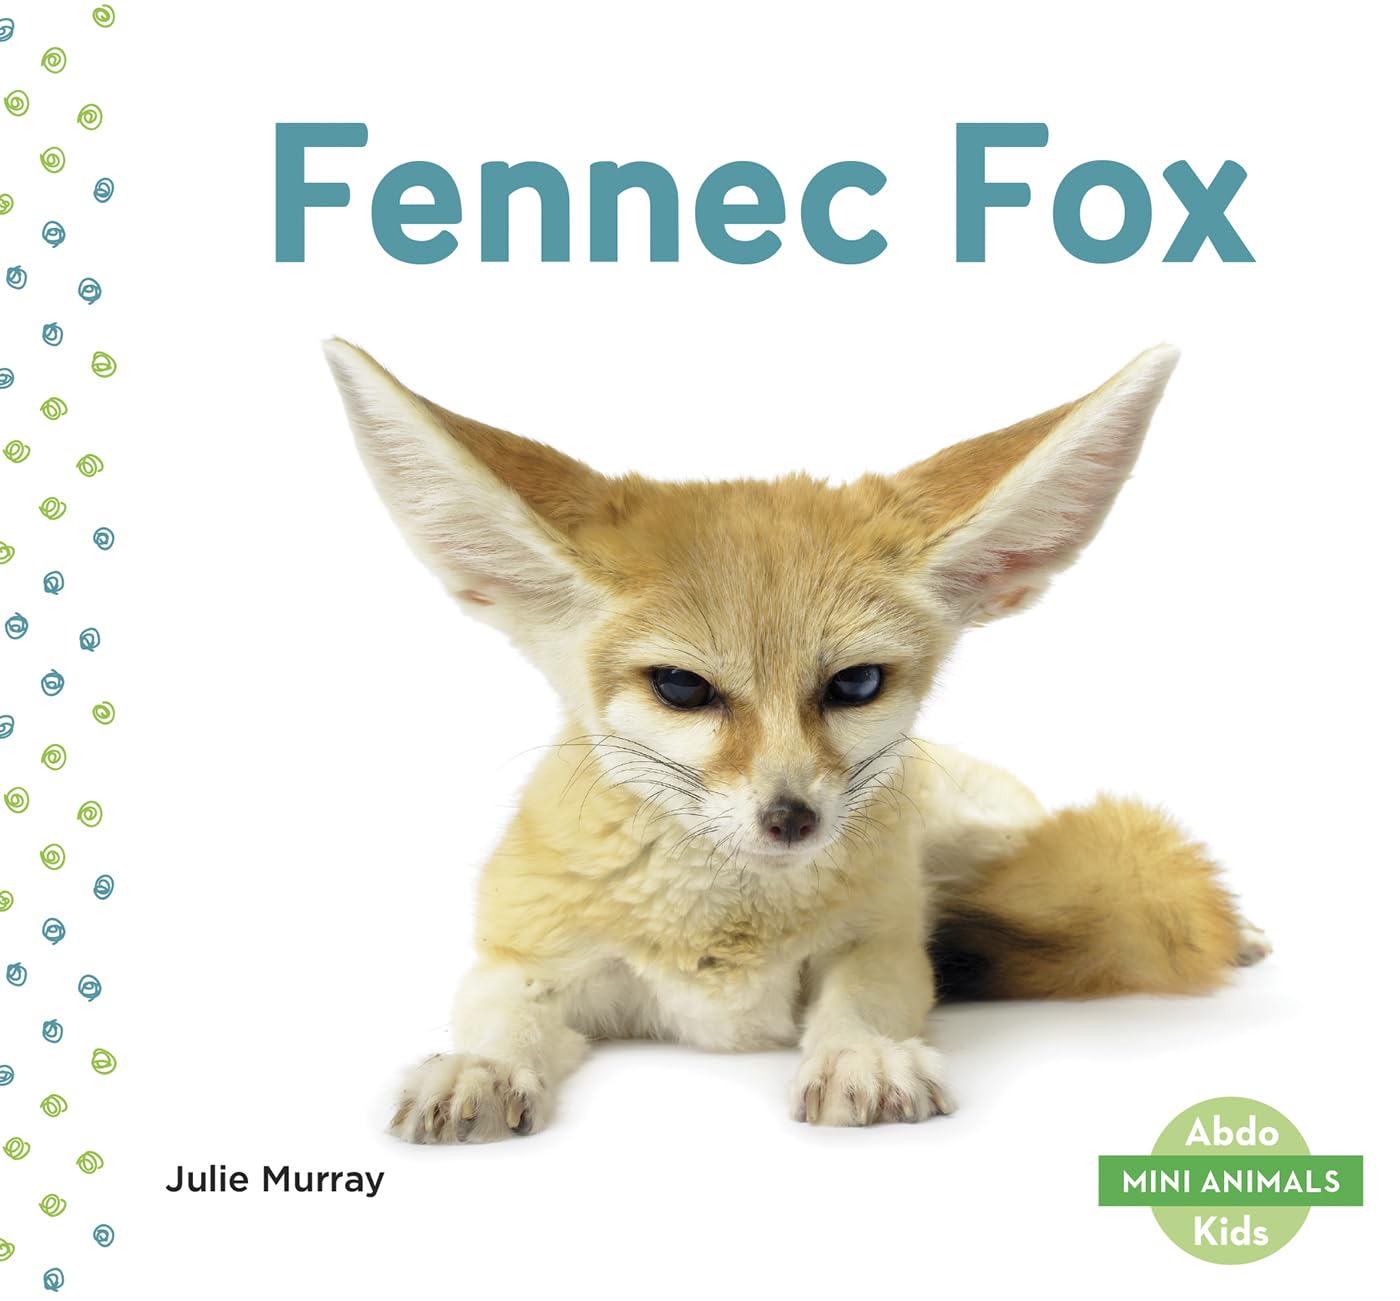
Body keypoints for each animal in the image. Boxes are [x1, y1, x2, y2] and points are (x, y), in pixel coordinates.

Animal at [324, 340, 1270, 1142]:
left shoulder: (885, 941)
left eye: (855, 684)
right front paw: (479, 1067)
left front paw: (858, 1053)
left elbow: (862, 996)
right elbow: (499, 1015)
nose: (791, 819)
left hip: (973, 843)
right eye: (682, 687)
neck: (727, 929)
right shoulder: (521, 954)